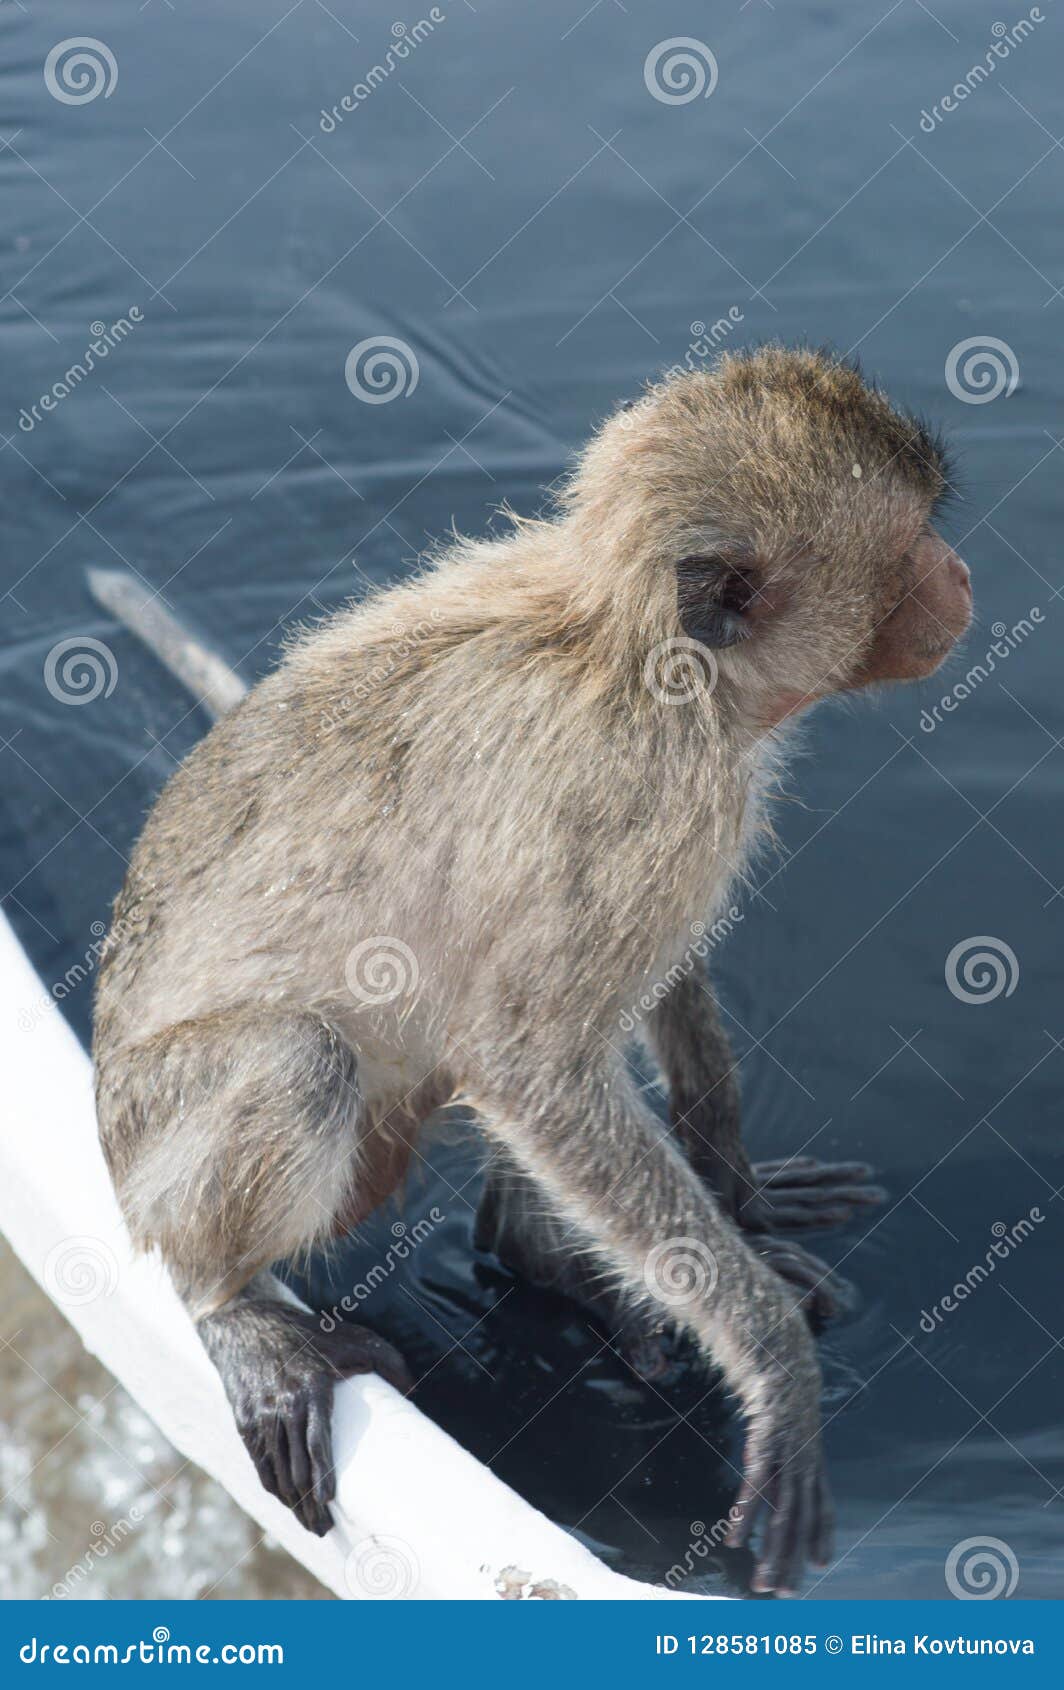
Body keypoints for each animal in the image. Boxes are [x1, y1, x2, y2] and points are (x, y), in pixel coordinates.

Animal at [93, 345, 972, 1597]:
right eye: (908, 553)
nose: (958, 575)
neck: (631, 645)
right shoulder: (655, 785)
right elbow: (528, 1063)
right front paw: (772, 1364)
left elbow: (613, 1000)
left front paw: (733, 1179)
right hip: (149, 1142)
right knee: (312, 1057)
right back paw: (226, 1304)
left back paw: (539, 1249)